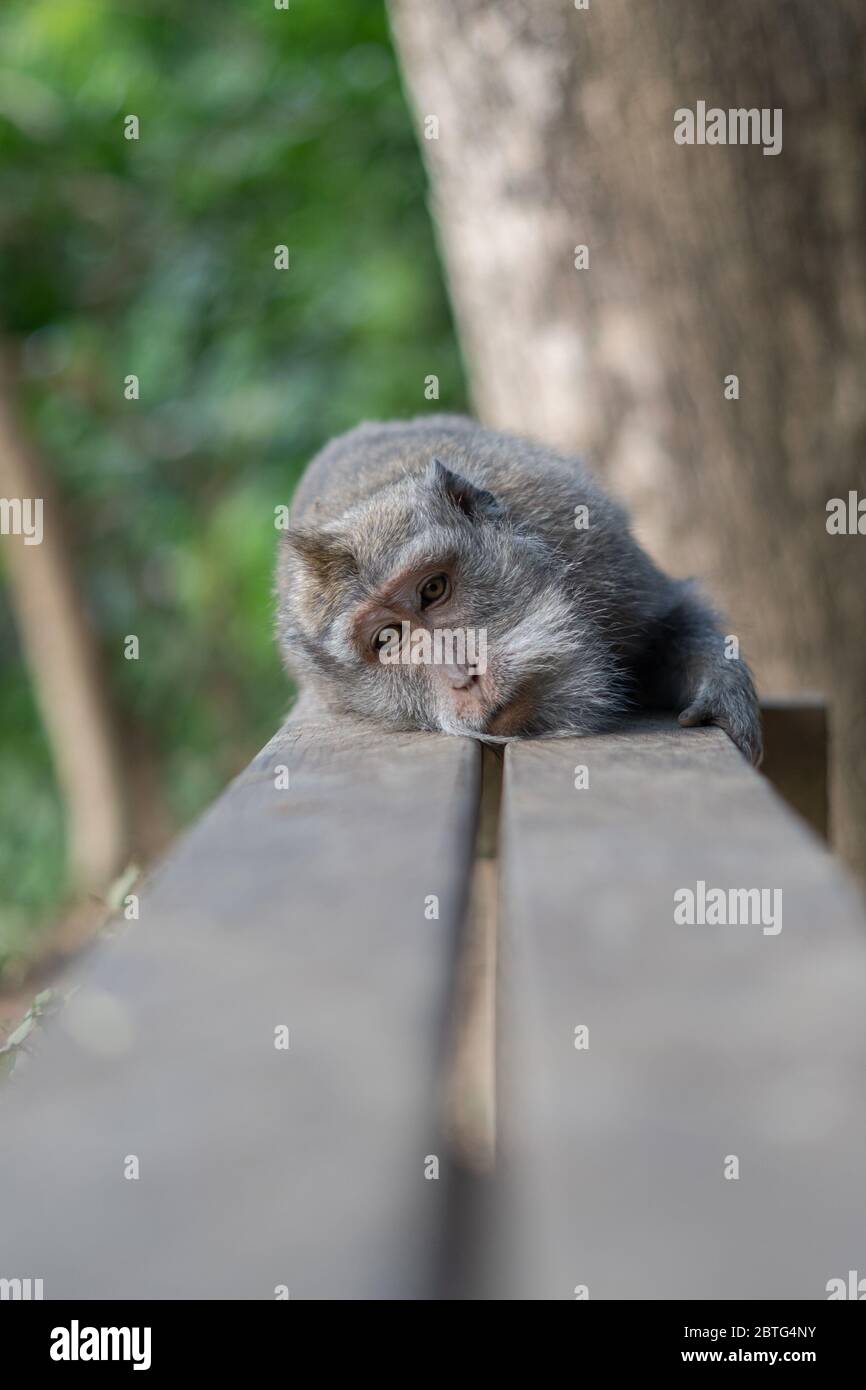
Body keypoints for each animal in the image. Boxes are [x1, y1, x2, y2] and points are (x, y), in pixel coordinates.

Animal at [275, 414, 762, 762]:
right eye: (387, 638)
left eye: (433, 590)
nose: (463, 676)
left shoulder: (596, 546)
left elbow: (670, 615)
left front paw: (718, 686)